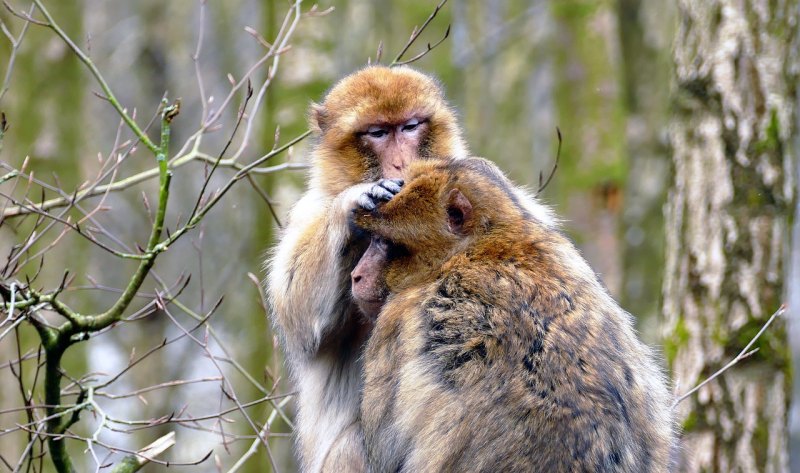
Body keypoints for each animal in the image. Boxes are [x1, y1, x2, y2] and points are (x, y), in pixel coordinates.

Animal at [268, 64, 468, 470]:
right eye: (378, 133)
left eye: (409, 127)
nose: (401, 163)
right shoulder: (309, 210)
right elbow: (295, 307)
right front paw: (352, 206)